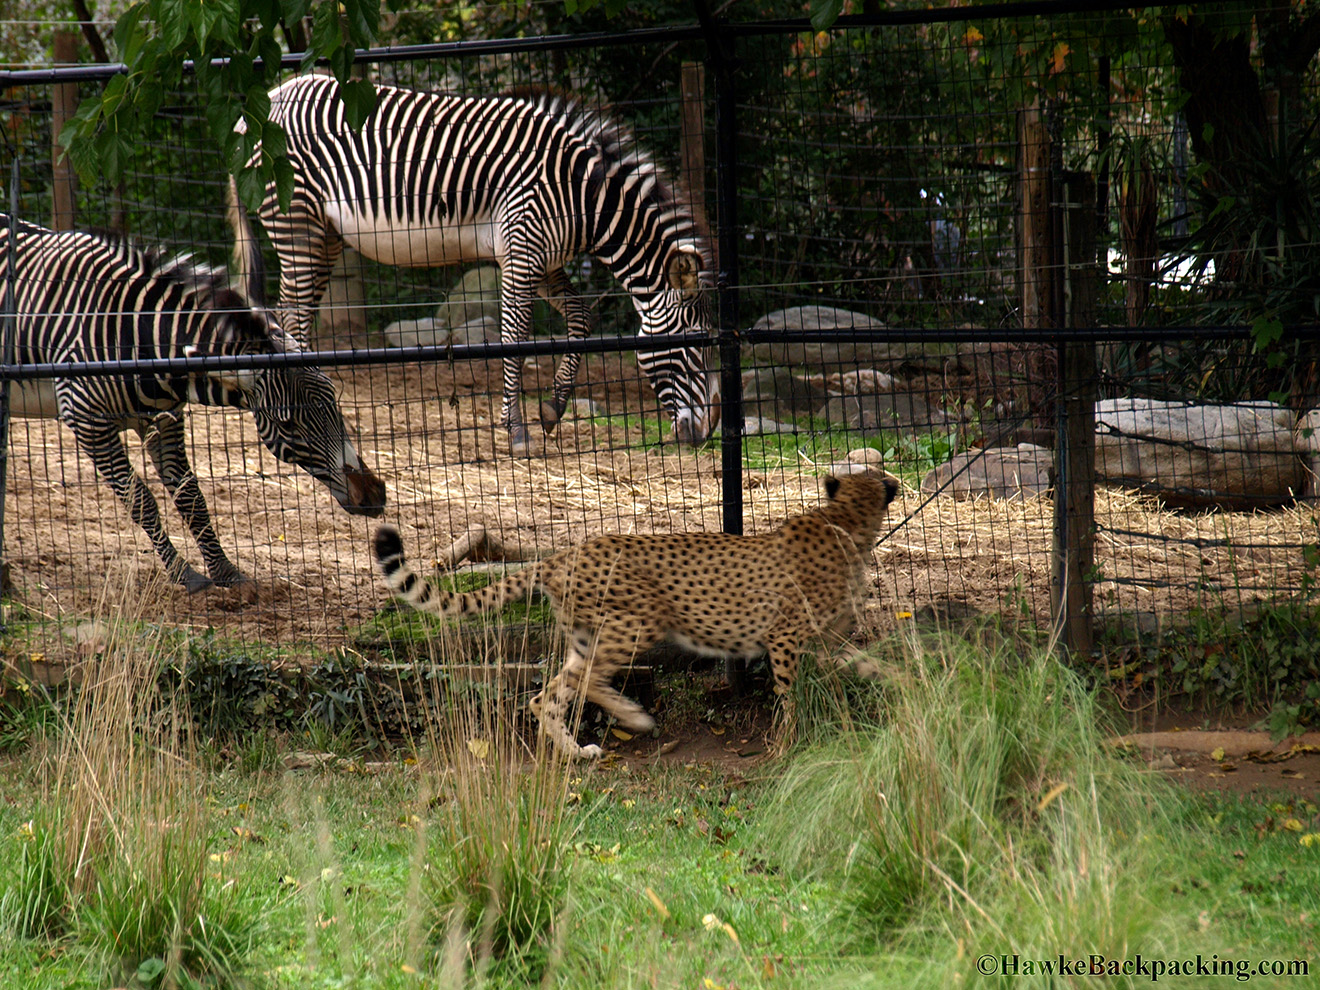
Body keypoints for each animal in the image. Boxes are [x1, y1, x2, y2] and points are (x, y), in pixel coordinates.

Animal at [2, 212, 385, 594]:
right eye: (288, 423)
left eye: (334, 397)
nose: (374, 494)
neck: (137, 338)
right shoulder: (86, 419)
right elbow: (141, 500)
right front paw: (186, 574)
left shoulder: (164, 419)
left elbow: (191, 497)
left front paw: (226, 572)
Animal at [232, 74, 718, 456]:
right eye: (694, 347)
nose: (706, 435)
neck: (581, 196)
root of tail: (263, 100)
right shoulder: (522, 250)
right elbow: (515, 339)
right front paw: (517, 433)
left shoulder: (542, 259)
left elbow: (581, 317)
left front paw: (553, 407)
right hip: (297, 222)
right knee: (292, 318)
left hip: (325, 237)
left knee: (296, 317)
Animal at [377, 472, 902, 760]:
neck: (847, 521)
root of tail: (562, 553)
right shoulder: (785, 638)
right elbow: (790, 695)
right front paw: (786, 743)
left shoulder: (828, 642)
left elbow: (870, 666)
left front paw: (910, 688)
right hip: (635, 624)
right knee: (587, 679)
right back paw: (634, 716)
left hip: (590, 632)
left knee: (548, 694)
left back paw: (578, 752)